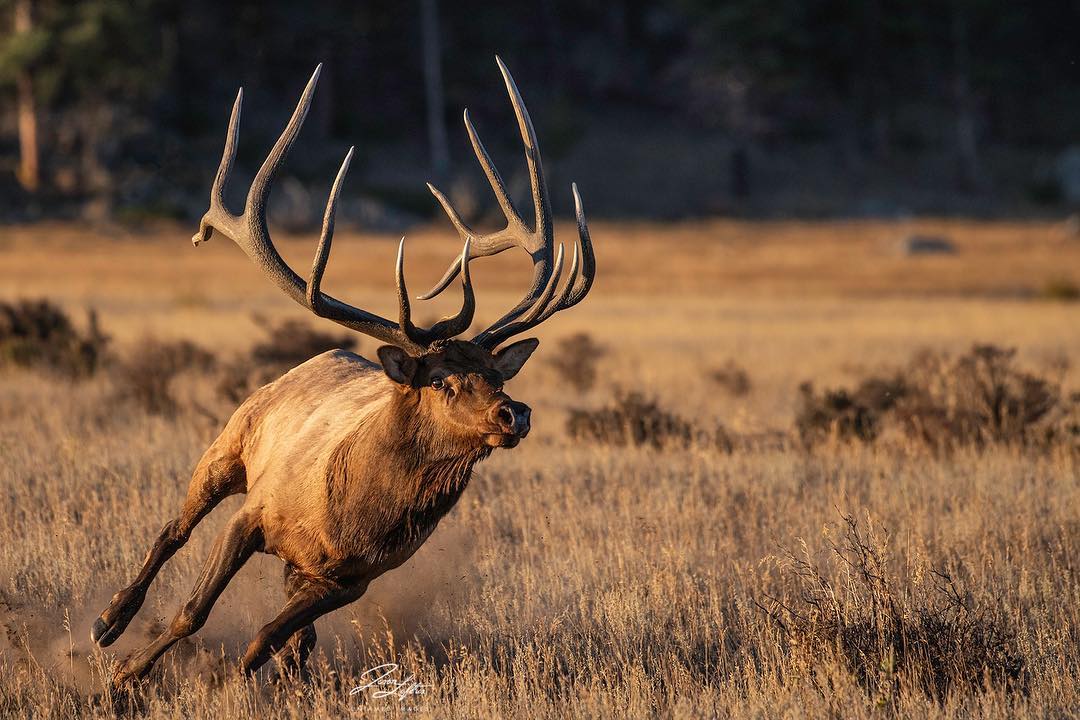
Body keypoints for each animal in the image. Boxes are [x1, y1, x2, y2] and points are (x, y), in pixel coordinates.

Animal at [91, 57, 595, 688]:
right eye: (441, 381)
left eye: (497, 378)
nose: (515, 413)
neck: (352, 517)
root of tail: (324, 355)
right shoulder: (254, 515)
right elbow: (193, 610)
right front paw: (125, 674)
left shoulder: (351, 579)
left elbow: (267, 638)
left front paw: (243, 682)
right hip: (229, 444)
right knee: (172, 530)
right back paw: (107, 622)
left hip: (297, 566)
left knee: (291, 633)